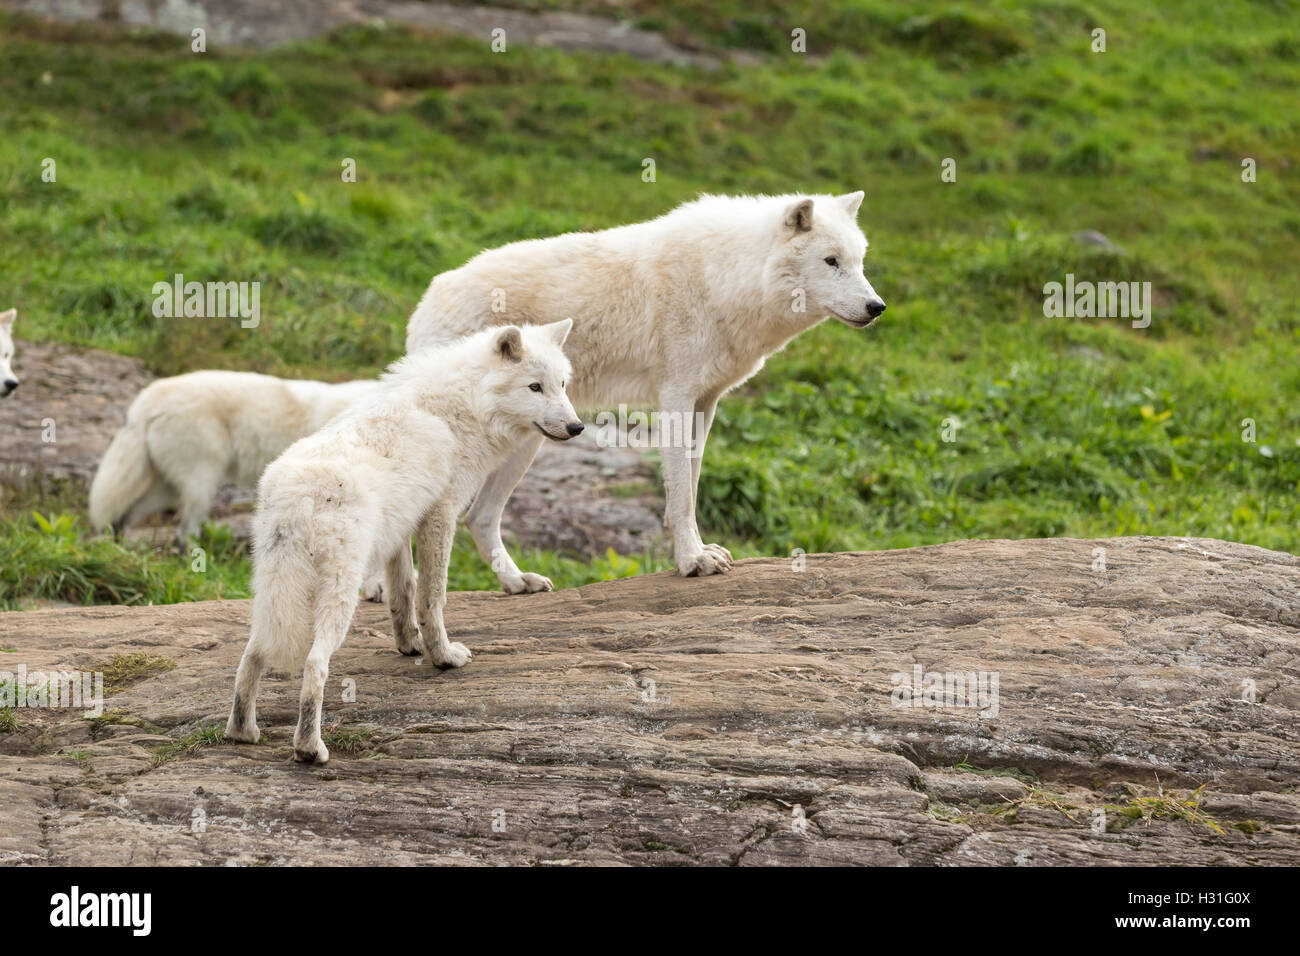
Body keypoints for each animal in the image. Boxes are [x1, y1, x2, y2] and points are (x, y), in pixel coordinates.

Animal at [225, 320, 582, 764]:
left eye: (562, 385)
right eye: (535, 387)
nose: (577, 427)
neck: (466, 405)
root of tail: (297, 494)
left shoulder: (402, 527)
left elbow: (403, 593)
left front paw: (409, 645)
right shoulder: (441, 514)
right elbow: (433, 597)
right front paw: (443, 656)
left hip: (273, 594)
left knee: (251, 656)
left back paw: (243, 732)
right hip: (337, 597)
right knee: (314, 665)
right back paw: (309, 748)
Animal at [405, 192, 885, 590]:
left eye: (860, 261)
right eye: (831, 261)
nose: (877, 307)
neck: (727, 278)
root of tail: (428, 296)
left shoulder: (705, 403)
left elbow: (689, 486)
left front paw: (698, 551)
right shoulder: (675, 398)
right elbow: (681, 492)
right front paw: (692, 561)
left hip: (529, 441)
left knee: (479, 517)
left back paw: (516, 582)